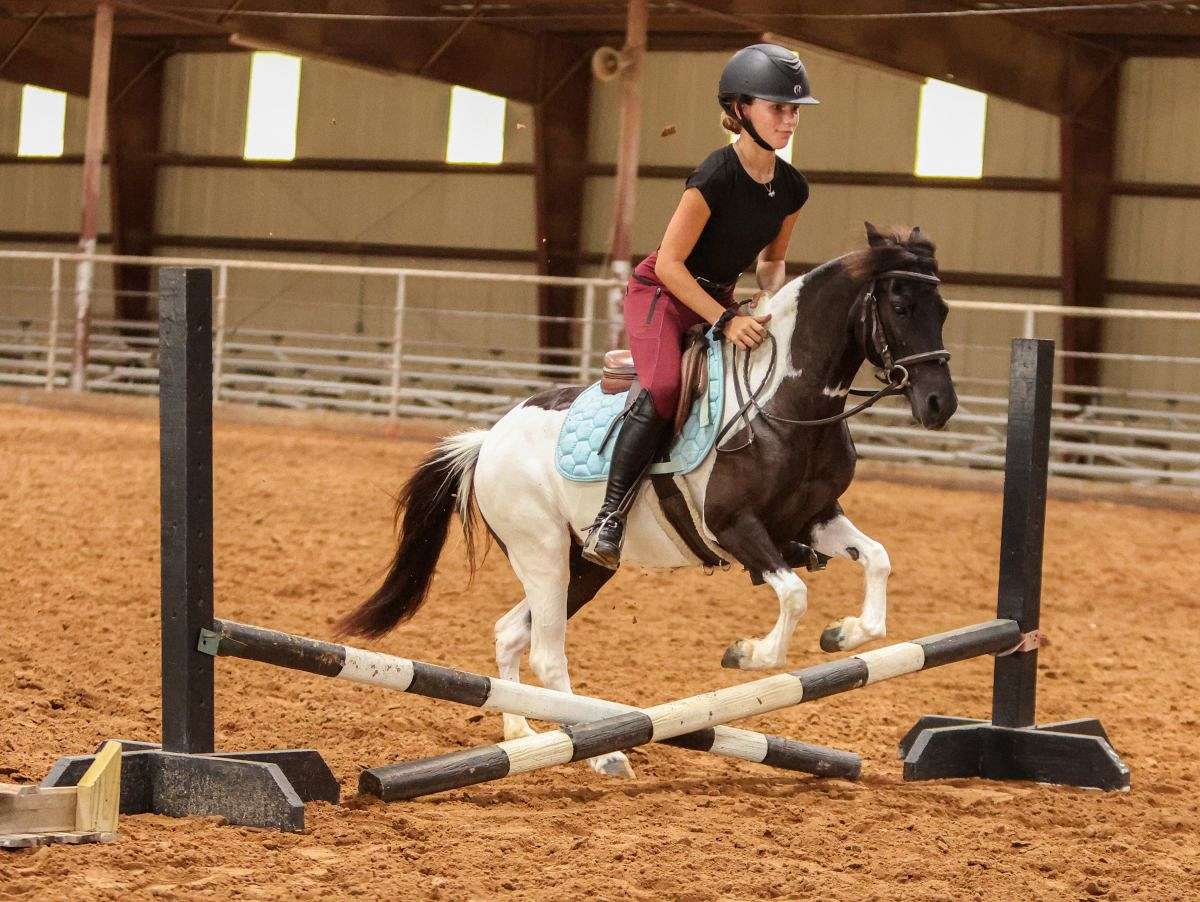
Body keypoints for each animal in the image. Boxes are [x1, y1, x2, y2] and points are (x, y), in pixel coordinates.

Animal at [337, 222, 957, 779]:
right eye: (901, 305)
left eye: (943, 309)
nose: (939, 405)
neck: (786, 403)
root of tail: (487, 441)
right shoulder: (736, 528)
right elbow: (794, 594)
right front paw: (747, 654)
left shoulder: (815, 520)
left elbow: (877, 560)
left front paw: (844, 633)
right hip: (542, 553)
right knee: (545, 651)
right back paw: (601, 754)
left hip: (582, 564)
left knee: (512, 633)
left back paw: (522, 732)